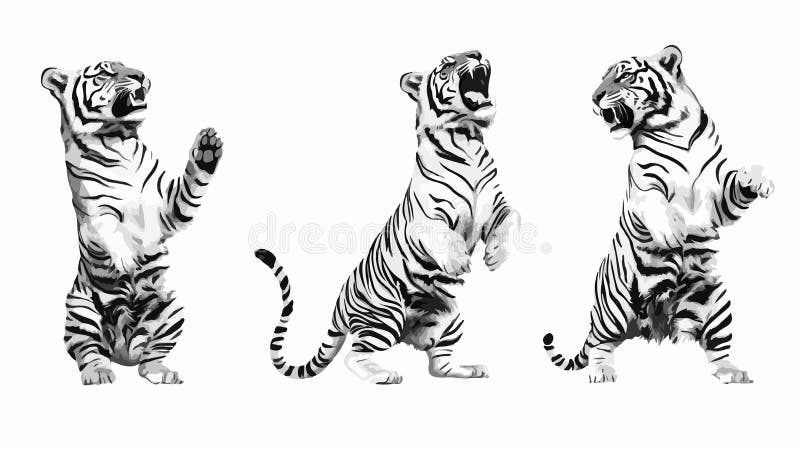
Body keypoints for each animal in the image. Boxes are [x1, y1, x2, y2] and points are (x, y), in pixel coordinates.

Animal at [42, 61, 224, 385]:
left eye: (126, 65)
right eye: (104, 73)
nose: (140, 75)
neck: (118, 142)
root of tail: (122, 351)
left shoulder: (167, 209)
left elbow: (189, 189)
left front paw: (207, 150)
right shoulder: (94, 211)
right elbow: (109, 228)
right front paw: (128, 259)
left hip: (171, 307)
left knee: (150, 357)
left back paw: (161, 372)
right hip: (80, 310)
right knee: (88, 351)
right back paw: (98, 373)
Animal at [254, 50, 519, 384]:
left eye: (470, 53)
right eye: (447, 65)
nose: (477, 53)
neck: (467, 140)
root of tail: (338, 306)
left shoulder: (496, 206)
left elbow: (513, 218)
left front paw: (496, 256)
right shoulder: (428, 216)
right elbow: (444, 235)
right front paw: (459, 261)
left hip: (451, 319)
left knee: (439, 366)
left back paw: (469, 370)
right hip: (384, 317)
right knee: (354, 356)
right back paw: (384, 376)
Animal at [542, 45, 774, 383]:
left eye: (624, 75)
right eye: (603, 78)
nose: (594, 98)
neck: (677, 132)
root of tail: (652, 328)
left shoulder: (718, 194)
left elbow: (736, 186)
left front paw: (758, 179)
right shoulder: (644, 180)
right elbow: (655, 202)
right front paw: (672, 231)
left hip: (715, 299)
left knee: (715, 348)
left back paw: (731, 371)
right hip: (614, 307)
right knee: (600, 344)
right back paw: (602, 372)